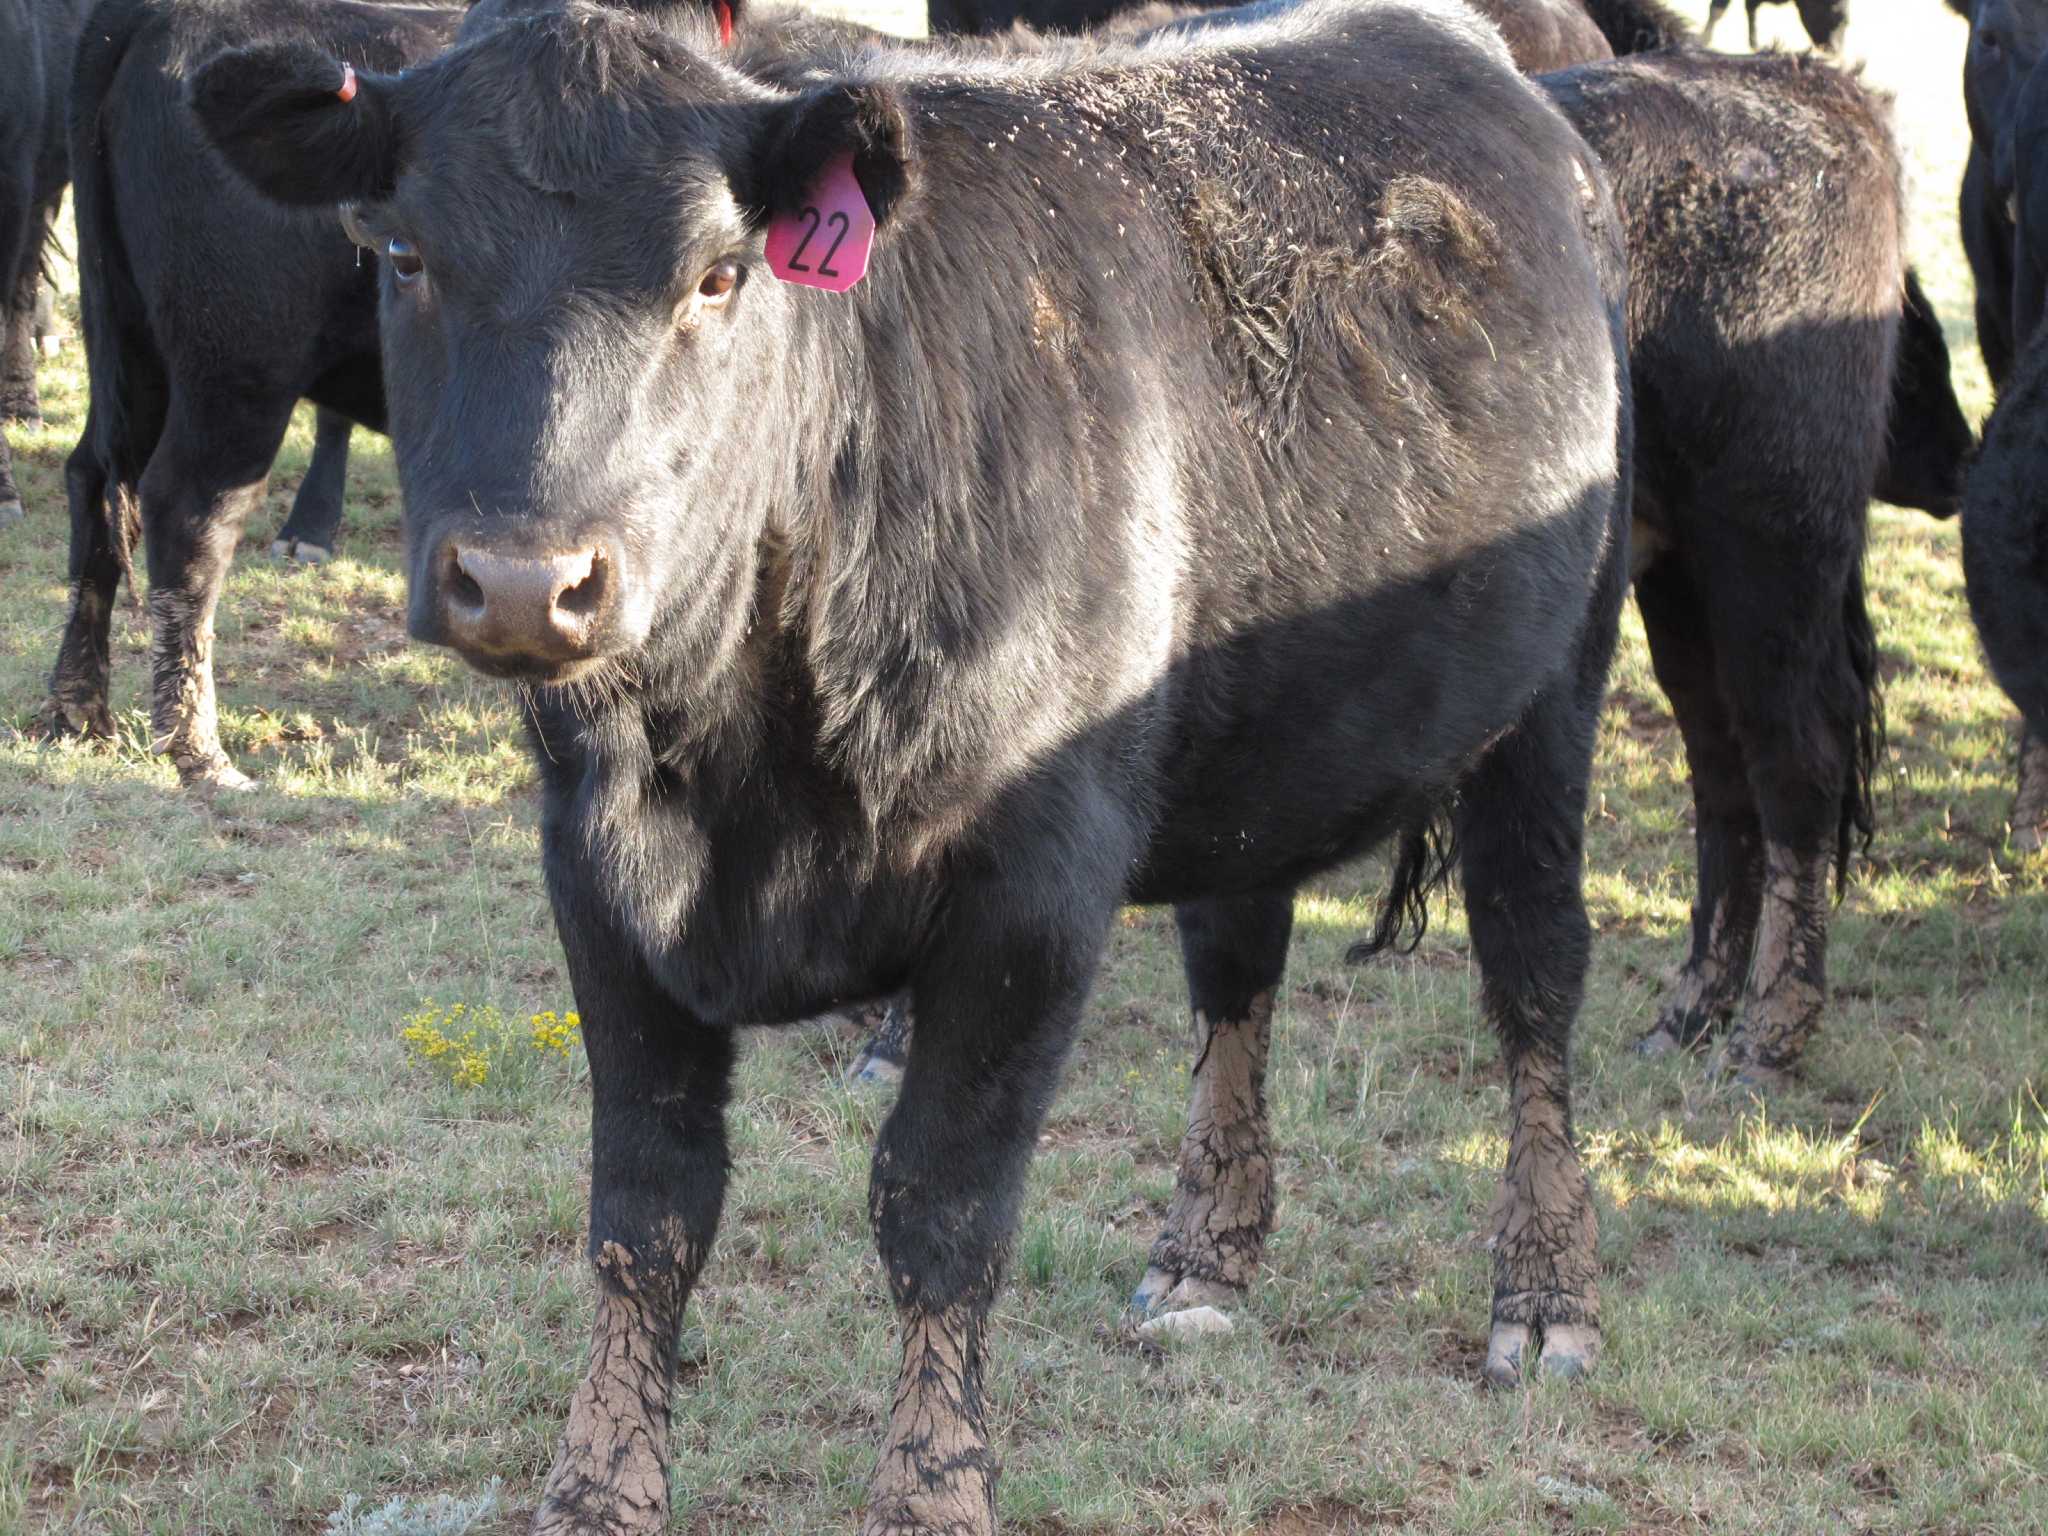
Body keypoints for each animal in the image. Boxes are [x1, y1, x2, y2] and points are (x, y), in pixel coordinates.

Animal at [193, 1, 1634, 1530]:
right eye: (405, 255)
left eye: (717, 276)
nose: (526, 583)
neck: (723, 769)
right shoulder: (594, 875)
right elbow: (646, 1207)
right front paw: (597, 1485)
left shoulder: (1033, 896)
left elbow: (938, 1211)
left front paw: (932, 1486)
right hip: (1253, 743)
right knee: (1237, 968)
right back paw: (1205, 1256)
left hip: (1554, 698)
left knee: (1533, 972)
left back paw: (1544, 1293)